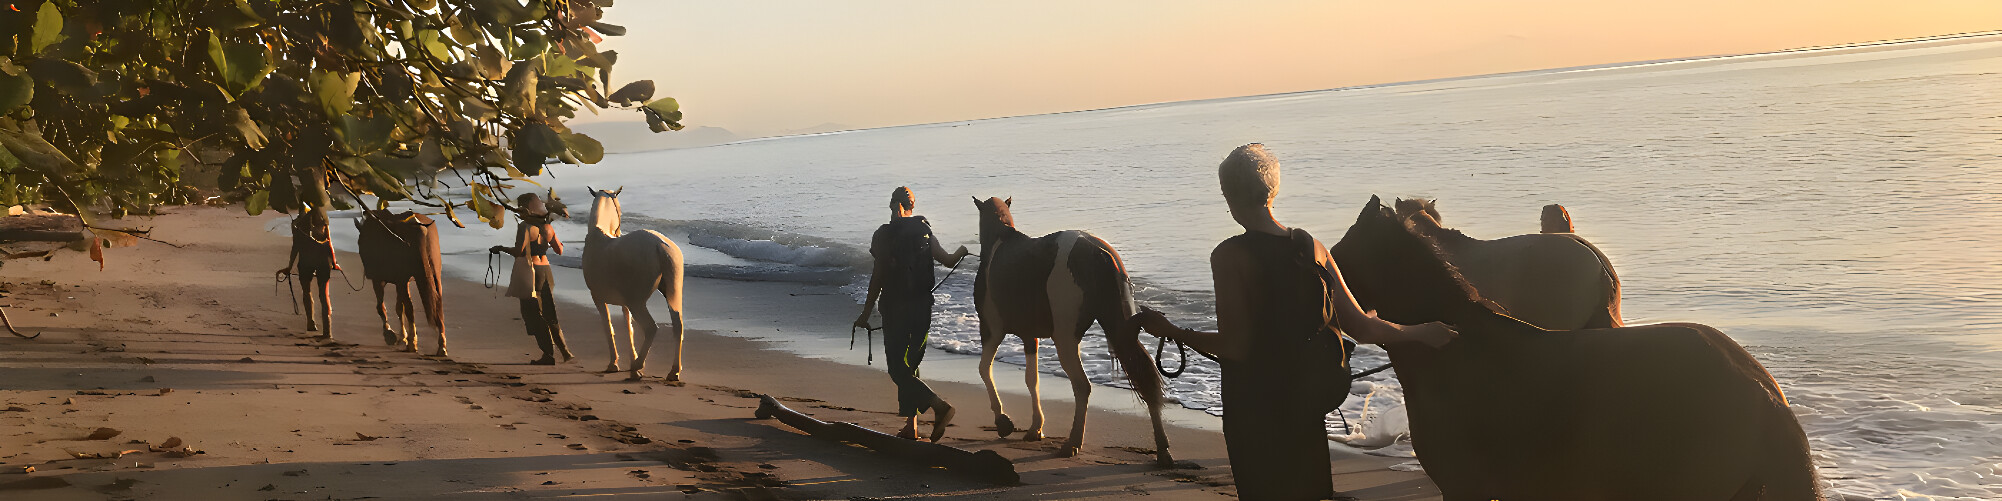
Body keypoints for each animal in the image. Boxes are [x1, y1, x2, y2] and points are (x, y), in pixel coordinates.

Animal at [356, 209, 447, 356]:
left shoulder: (379, 280)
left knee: (410, 308)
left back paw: (412, 343)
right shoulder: (402, 281)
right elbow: (399, 307)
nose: (368, 272)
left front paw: (390, 334)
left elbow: (382, 307)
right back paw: (441, 345)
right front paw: (402, 336)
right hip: (434, 275)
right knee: (438, 306)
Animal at [581, 187, 687, 381]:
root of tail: (659, 246)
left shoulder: (598, 298)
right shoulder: (625, 304)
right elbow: (629, 329)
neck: (598, 237)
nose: (618, 232)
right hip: (669, 297)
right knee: (678, 327)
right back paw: (673, 371)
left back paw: (639, 366)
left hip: (637, 303)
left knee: (651, 328)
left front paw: (614, 364)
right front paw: (631, 360)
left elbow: (608, 327)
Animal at [970, 197, 1172, 465]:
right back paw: (1163, 450)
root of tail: (1099, 252)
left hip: (1065, 339)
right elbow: (1031, 380)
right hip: (1121, 330)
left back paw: (1072, 442)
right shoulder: (1030, 337)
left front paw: (1003, 421)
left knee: (1082, 386)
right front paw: (1035, 428)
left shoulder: (992, 330)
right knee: (1145, 379)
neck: (999, 242)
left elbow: (984, 369)